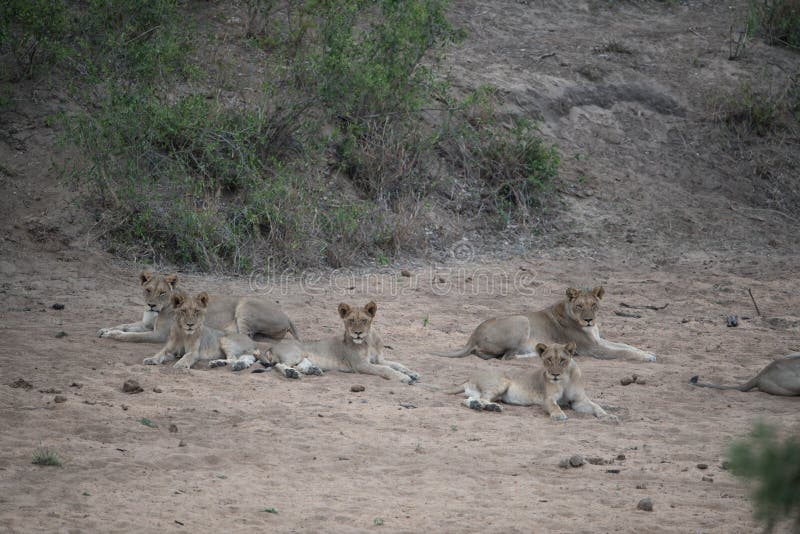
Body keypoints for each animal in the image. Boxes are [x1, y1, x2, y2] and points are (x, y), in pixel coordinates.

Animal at [98, 271, 300, 343]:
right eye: (148, 290)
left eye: (162, 292)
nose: (151, 305)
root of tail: (287, 316)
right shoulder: (147, 324)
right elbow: (125, 325)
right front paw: (105, 329)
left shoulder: (160, 334)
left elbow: (132, 335)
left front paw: (113, 335)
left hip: (245, 304)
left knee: (246, 336)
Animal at [265, 301, 419, 384]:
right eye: (351, 320)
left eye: (364, 320)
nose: (358, 333)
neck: (368, 340)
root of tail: (272, 346)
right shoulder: (360, 364)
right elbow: (386, 369)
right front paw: (404, 377)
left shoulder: (379, 359)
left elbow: (397, 364)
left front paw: (413, 373)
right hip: (295, 354)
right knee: (279, 365)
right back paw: (291, 373)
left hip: (303, 357)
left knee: (301, 365)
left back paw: (313, 370)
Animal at [431, 286, 656, 362]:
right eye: (579, 306)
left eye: (593, 305)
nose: (589, 319)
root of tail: (473, 335)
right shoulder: (592, 349)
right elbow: (622, 352)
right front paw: (645, 357)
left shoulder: (598, 341)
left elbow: (625, 345)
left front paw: (648, 352)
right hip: (522, 319)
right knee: (506, 357)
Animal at [447, 342, 617, 421]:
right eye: (549, 359)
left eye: (562, 360)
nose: (554, 375)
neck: (564, 379)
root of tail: (469, 377)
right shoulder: (548, 399)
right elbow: (554, 406)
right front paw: (558, 415)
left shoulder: (579, 401)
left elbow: (596, 406)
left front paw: (608, 416)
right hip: (501, 382)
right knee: (482, 398)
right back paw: (490, 407)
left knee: (470, 399)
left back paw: (482, 406)